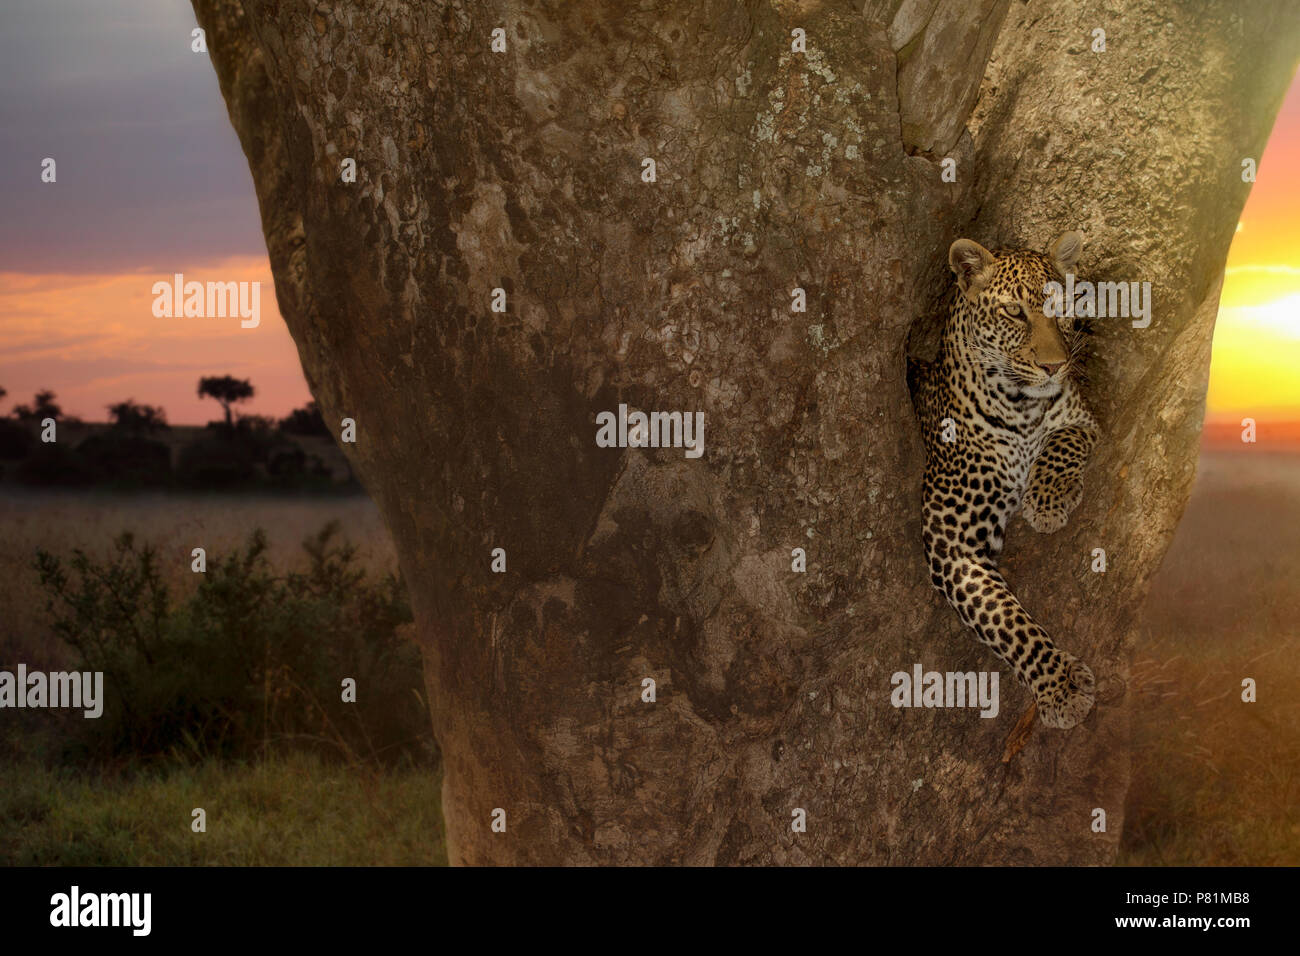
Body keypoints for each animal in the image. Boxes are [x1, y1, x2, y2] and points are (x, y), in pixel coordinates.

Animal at [906, 231, 1098, 729]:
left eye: (1061, 307)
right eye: (1014, 312)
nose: (1054, 366)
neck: (1018, 408)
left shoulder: (1080, 418)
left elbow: (1063, 440)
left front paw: (1046, 500)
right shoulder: (952, 541)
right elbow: (1006, 620)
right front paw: (1060, 686)